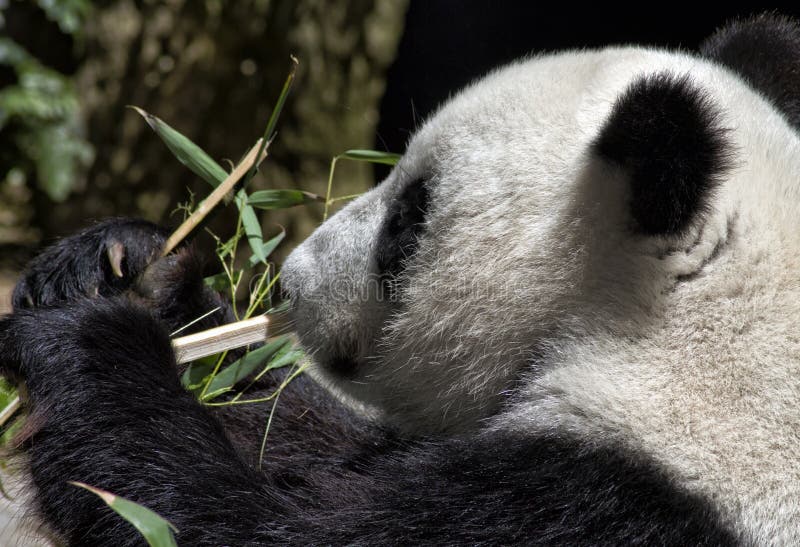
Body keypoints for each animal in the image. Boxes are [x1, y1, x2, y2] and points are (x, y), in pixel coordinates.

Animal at [1, 13, 800, 546]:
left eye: (409, 219)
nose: (293, 280)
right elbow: (304, 437)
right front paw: (137, 268)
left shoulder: (619, 499)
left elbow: (241, 523)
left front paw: (86, 341)